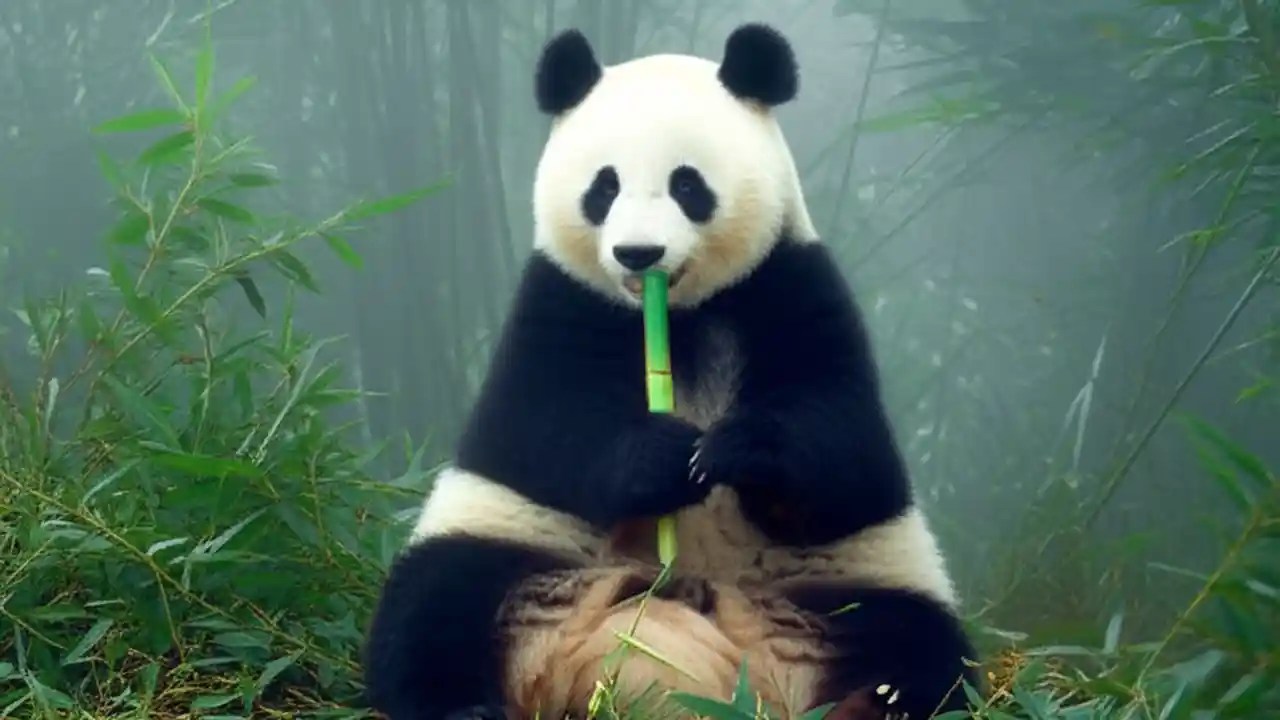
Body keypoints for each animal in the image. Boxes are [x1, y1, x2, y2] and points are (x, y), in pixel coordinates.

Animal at [363, 22, 979, 720]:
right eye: (604, 188)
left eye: (688, 185)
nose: (639, 253)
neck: (675, 312)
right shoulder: (558, 301)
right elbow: (541, 424)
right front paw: (659, 459)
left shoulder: (792, 286)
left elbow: (845, 448)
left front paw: (738, 448)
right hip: (509, 543)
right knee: (434, 608)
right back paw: (466, 706)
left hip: (845, 585)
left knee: (916, 652)